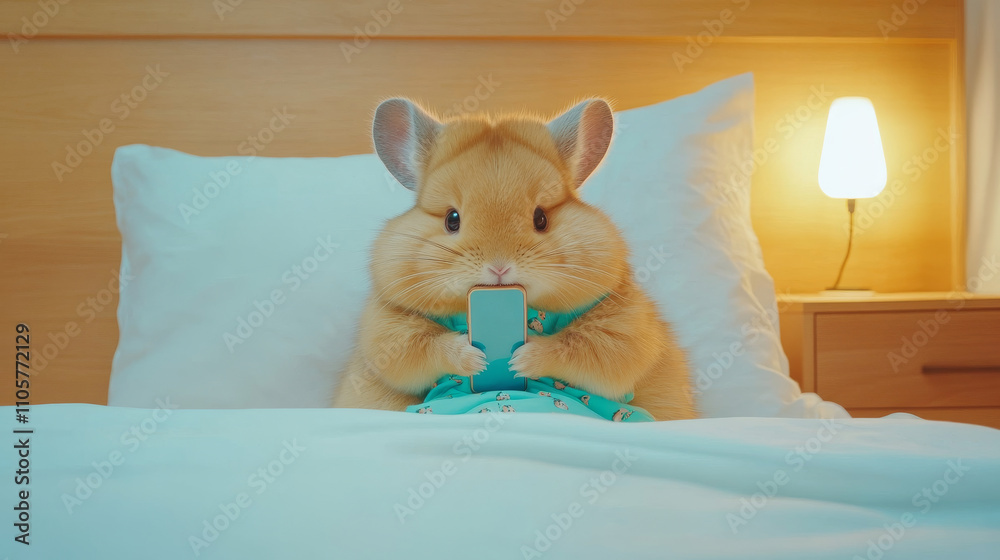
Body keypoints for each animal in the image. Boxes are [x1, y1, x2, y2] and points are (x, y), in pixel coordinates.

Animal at [331, 97, 697, 421]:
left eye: (541, 219)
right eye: (452, 219)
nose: (499, 268)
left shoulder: (621, 330)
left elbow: (578, 350)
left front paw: (521, 358)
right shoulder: (389, 330)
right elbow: (426, 349)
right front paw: (477, 359)